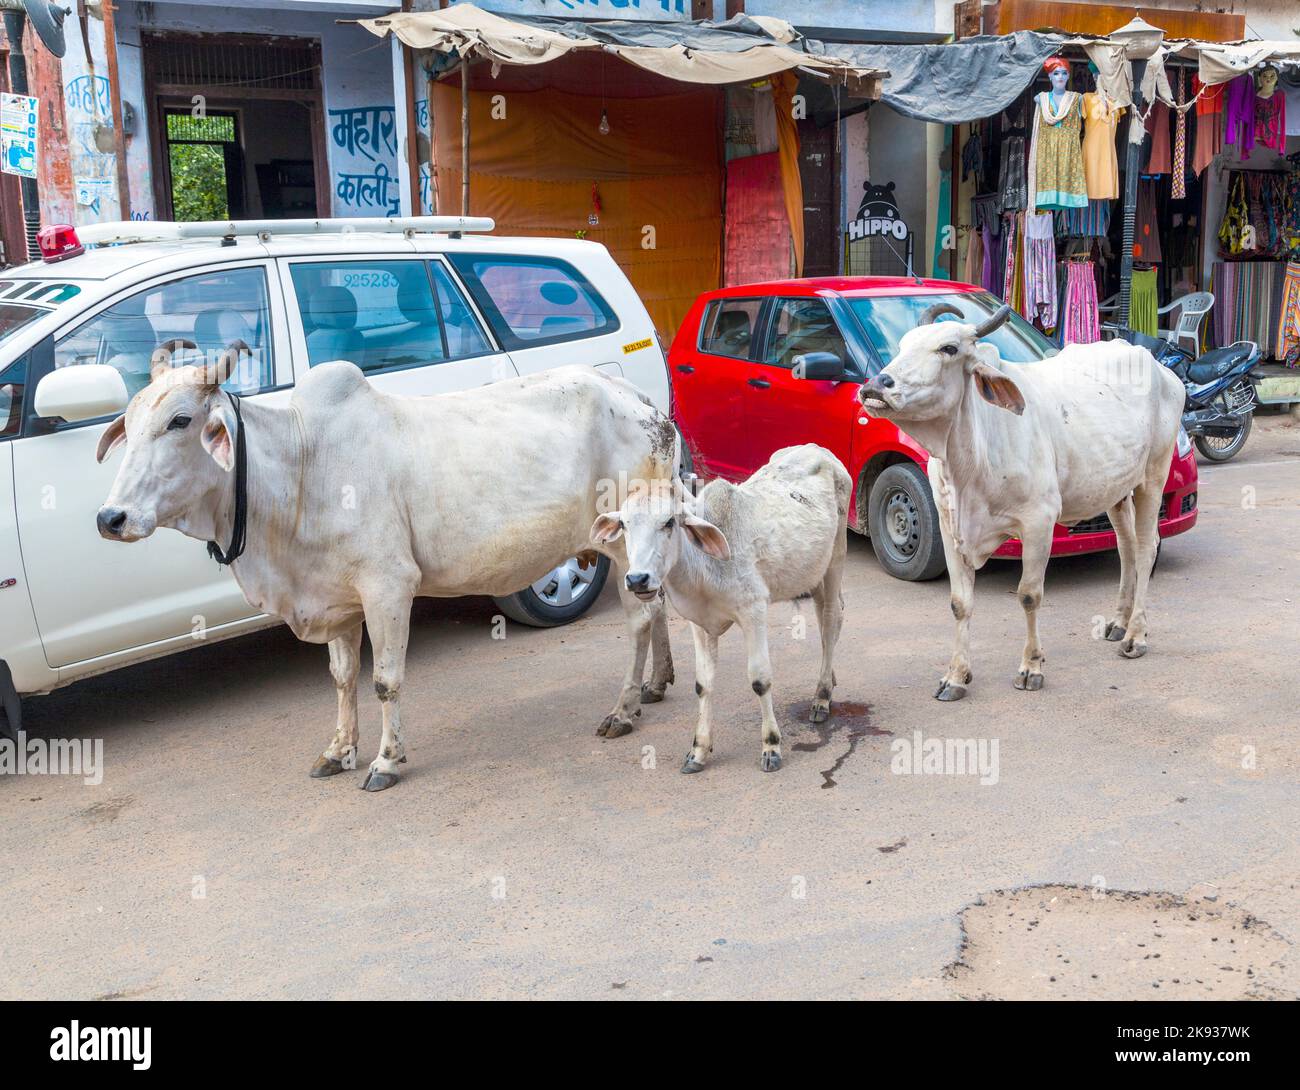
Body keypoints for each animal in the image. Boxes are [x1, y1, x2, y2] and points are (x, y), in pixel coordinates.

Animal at [94, 344, 679, 790]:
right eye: (128, 424)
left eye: (180, 421)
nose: (110, 517)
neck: (302, 465)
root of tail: (638, 400)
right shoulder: (337, 597)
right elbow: (342, 677)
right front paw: (338, 750)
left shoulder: (388, 587)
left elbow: (384, 680)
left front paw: (386, 760)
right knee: (660, 607)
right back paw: (656, 686)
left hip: (624, 545)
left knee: (638, 622)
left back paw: (624, 709)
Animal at [591, 444, 851, 774]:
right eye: (624, 525)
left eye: (669, 522)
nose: (638, 579)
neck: (704, 569)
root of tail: (818, 450)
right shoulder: (699, 625)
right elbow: (703, 685)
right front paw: (698, 751)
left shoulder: (754, 612)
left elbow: (760, 680)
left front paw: (771, 746)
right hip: (813, 572)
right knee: (827, 618)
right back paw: (830, 680)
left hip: (835, 560)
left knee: (830, 622)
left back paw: (821, 697)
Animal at [857, 304, 1184, 700]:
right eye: (903, 345)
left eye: (949, 349)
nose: (876, 386)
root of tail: (1158, 366)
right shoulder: (950, 527)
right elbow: (959, 603)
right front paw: (956, 675)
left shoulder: (1038, 522)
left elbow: (1029, 596)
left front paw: (1031, 667)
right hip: (1116, 490)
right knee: (1127, 548)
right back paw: (1118, 622)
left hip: (1153, 475)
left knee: (1147, 547)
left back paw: (1135, 635)